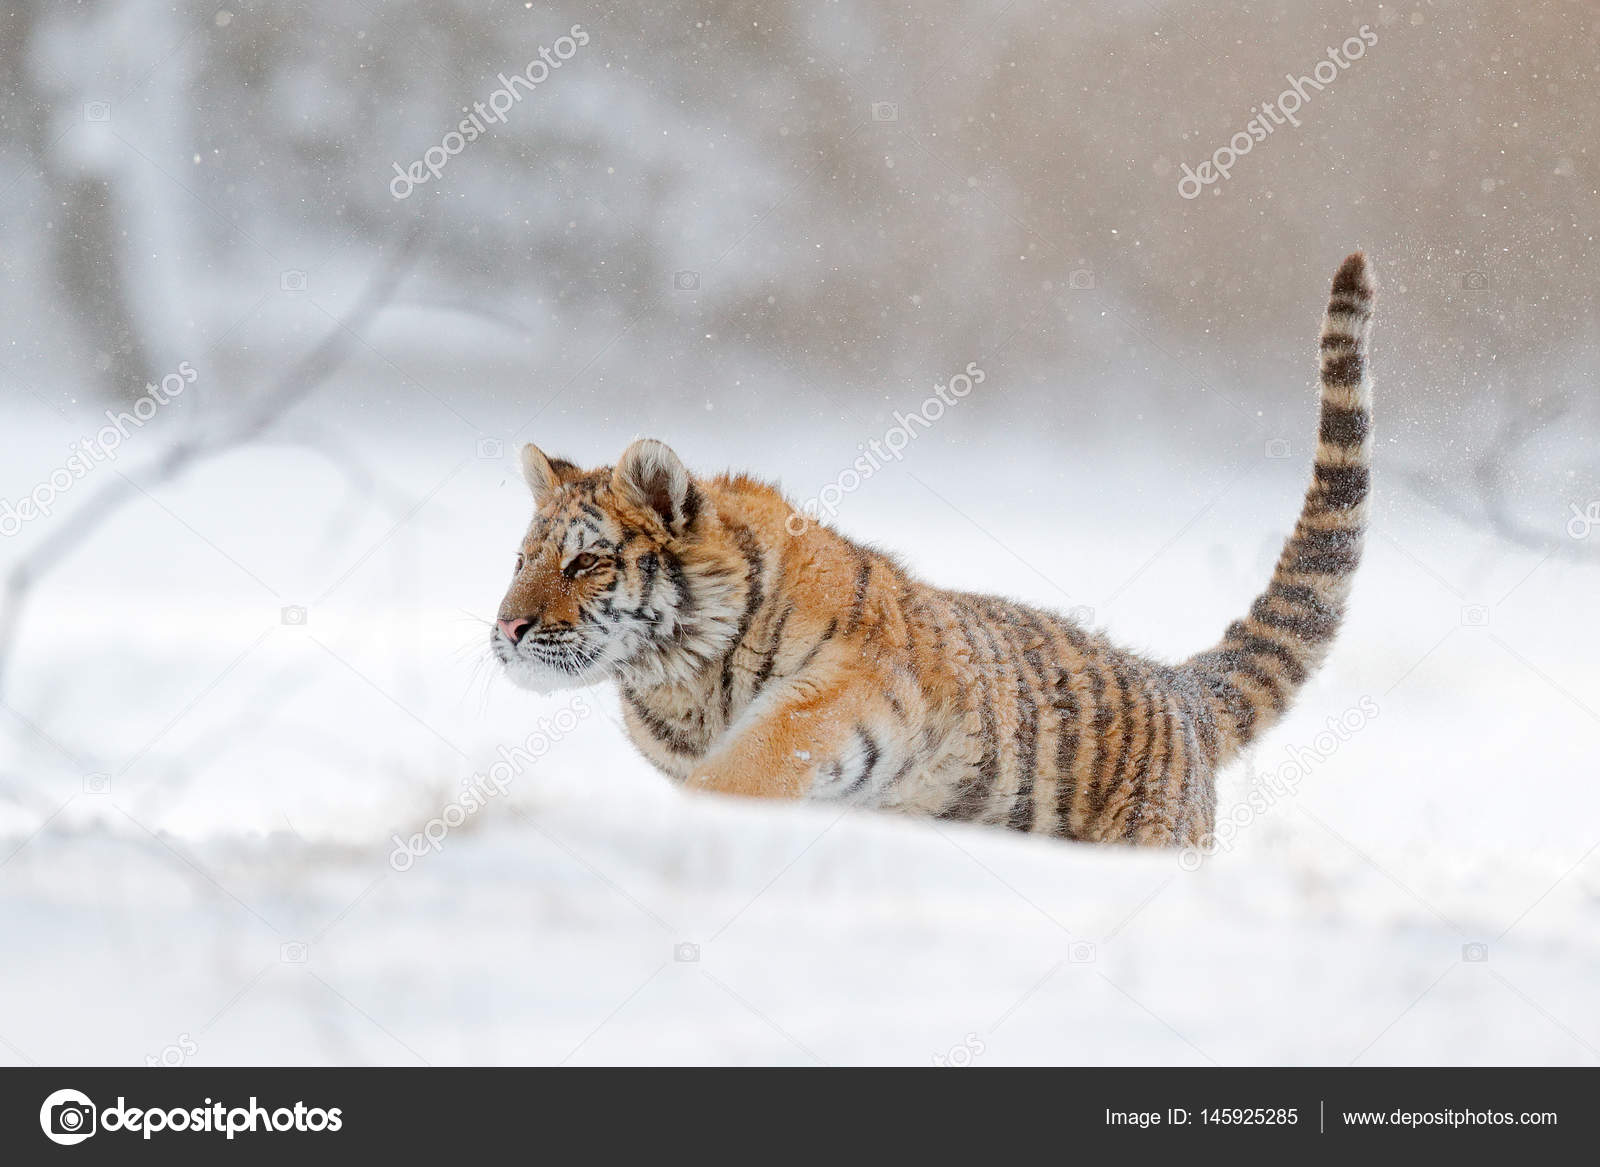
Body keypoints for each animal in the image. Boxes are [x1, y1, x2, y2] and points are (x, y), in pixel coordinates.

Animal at [491, 253, 1375, 847]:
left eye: (585, 561)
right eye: (523, 560)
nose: (507, 629)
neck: (673, 676)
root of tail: (1178, 687)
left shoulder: (845, 687)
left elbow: (754, 759)